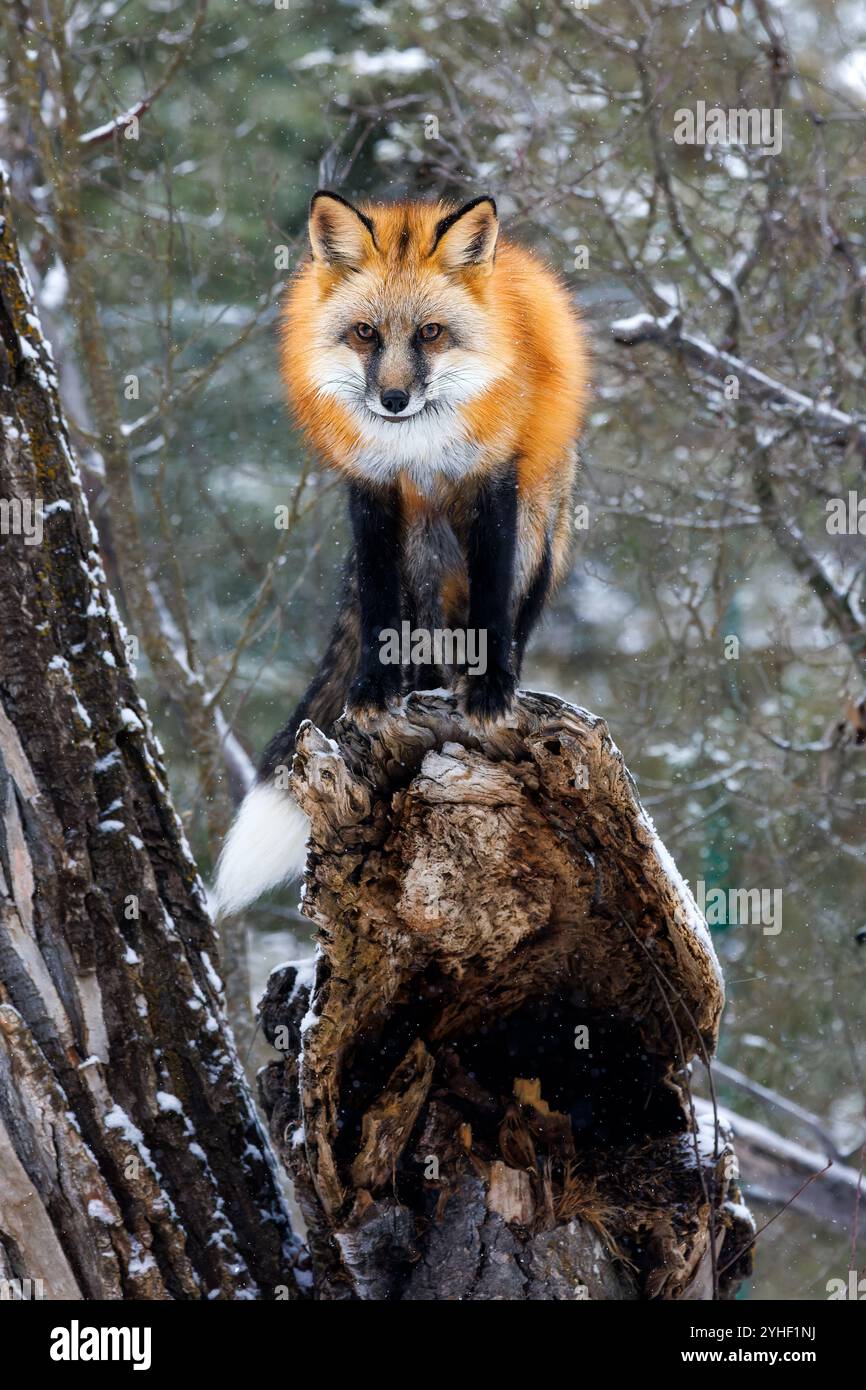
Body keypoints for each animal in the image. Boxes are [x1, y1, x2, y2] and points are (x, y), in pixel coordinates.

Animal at [214, 190, 590, 916]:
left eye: (431, 334)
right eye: (365, 333)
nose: (392, 400)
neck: (420, 450)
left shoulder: (494, 484)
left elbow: (492, 606)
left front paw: (491, 688)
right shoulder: (373, 489)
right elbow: (380, 606)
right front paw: (374, 689)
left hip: (538, 535)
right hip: (423, 551)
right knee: (420, 630)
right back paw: (415, 691)